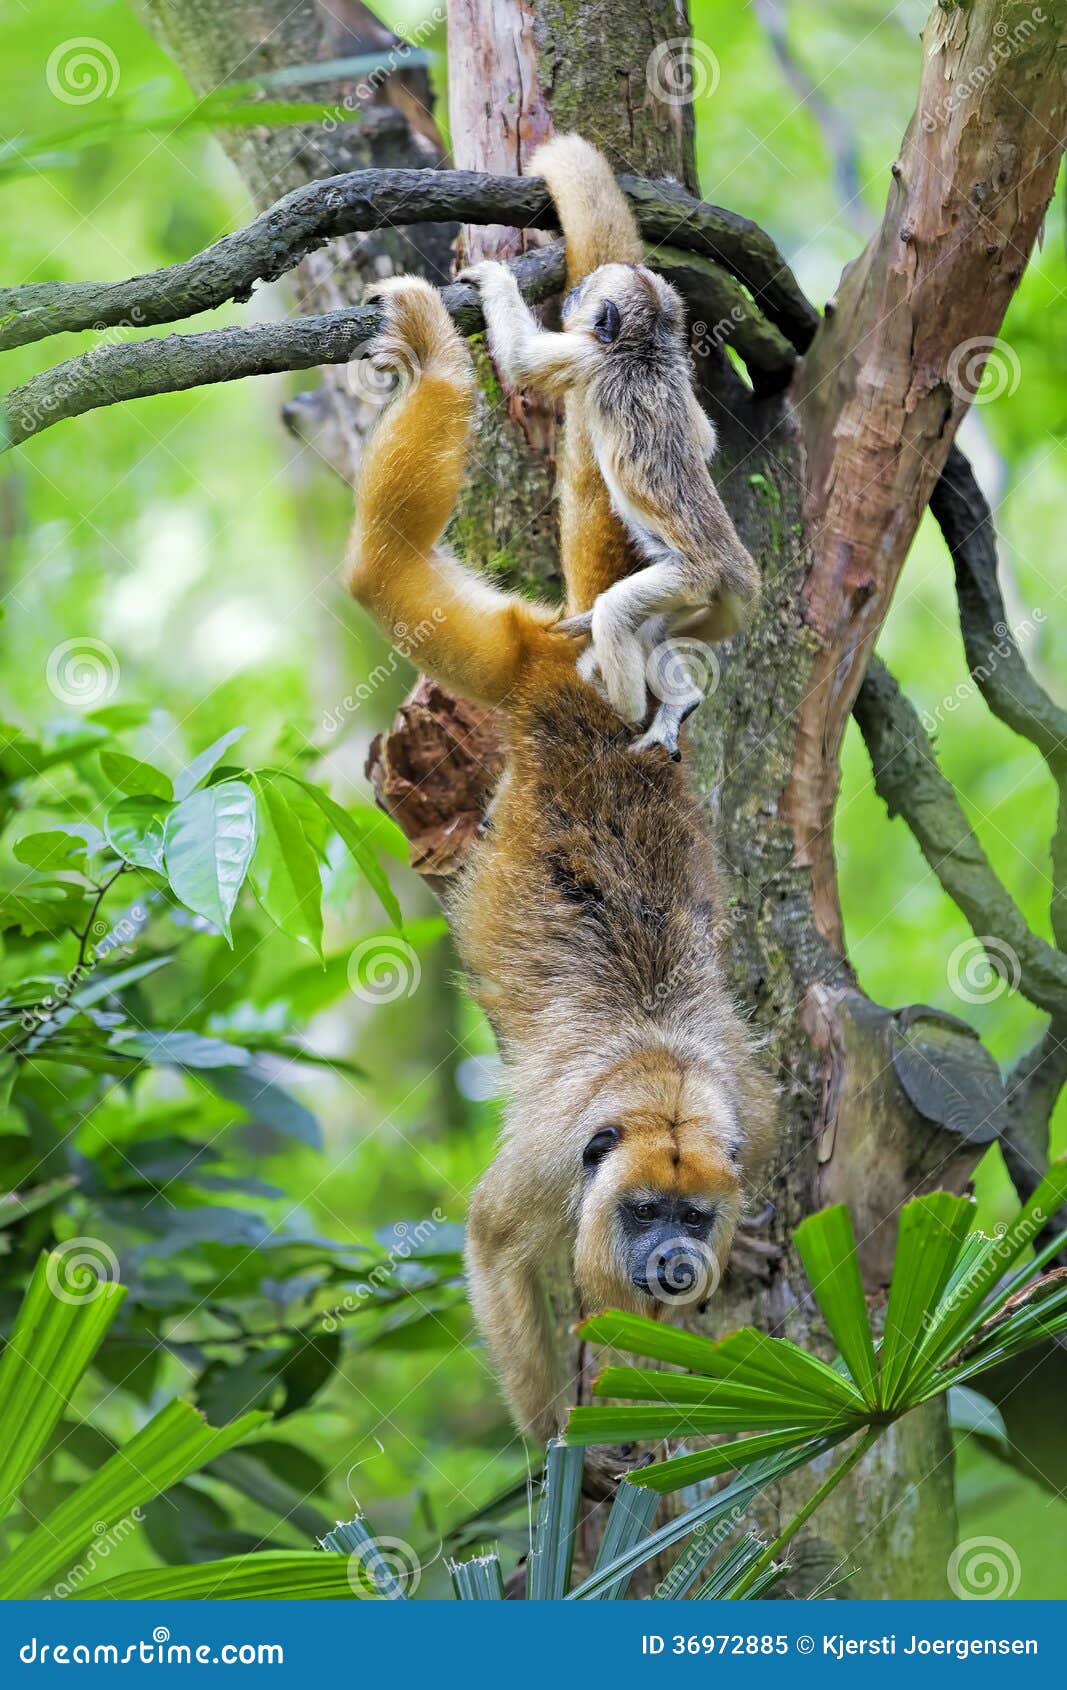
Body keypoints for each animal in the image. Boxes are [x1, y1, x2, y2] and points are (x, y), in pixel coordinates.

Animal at [344, 240, 776, 1446]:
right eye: (641, 1211)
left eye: (692, 1214)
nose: (676, 1259)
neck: (660, 1081)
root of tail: (567, 674)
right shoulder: (547, 1171)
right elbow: (493, 1247)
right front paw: (554, 1450)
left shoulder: (754, 1123)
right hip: (511, 650)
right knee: (380, 567)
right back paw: (441, 356)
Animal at [458, 134, 761, 757]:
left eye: (582, 293)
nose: (572, 291)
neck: (643, 349)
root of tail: (735, 568)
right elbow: (705, 437)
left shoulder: (589, 357)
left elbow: (521, 362)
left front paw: (495, 280)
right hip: (694, 595)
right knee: (649, 628)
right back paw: (675, 703)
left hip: (690, 577)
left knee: (619, 613)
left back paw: (621, 704)